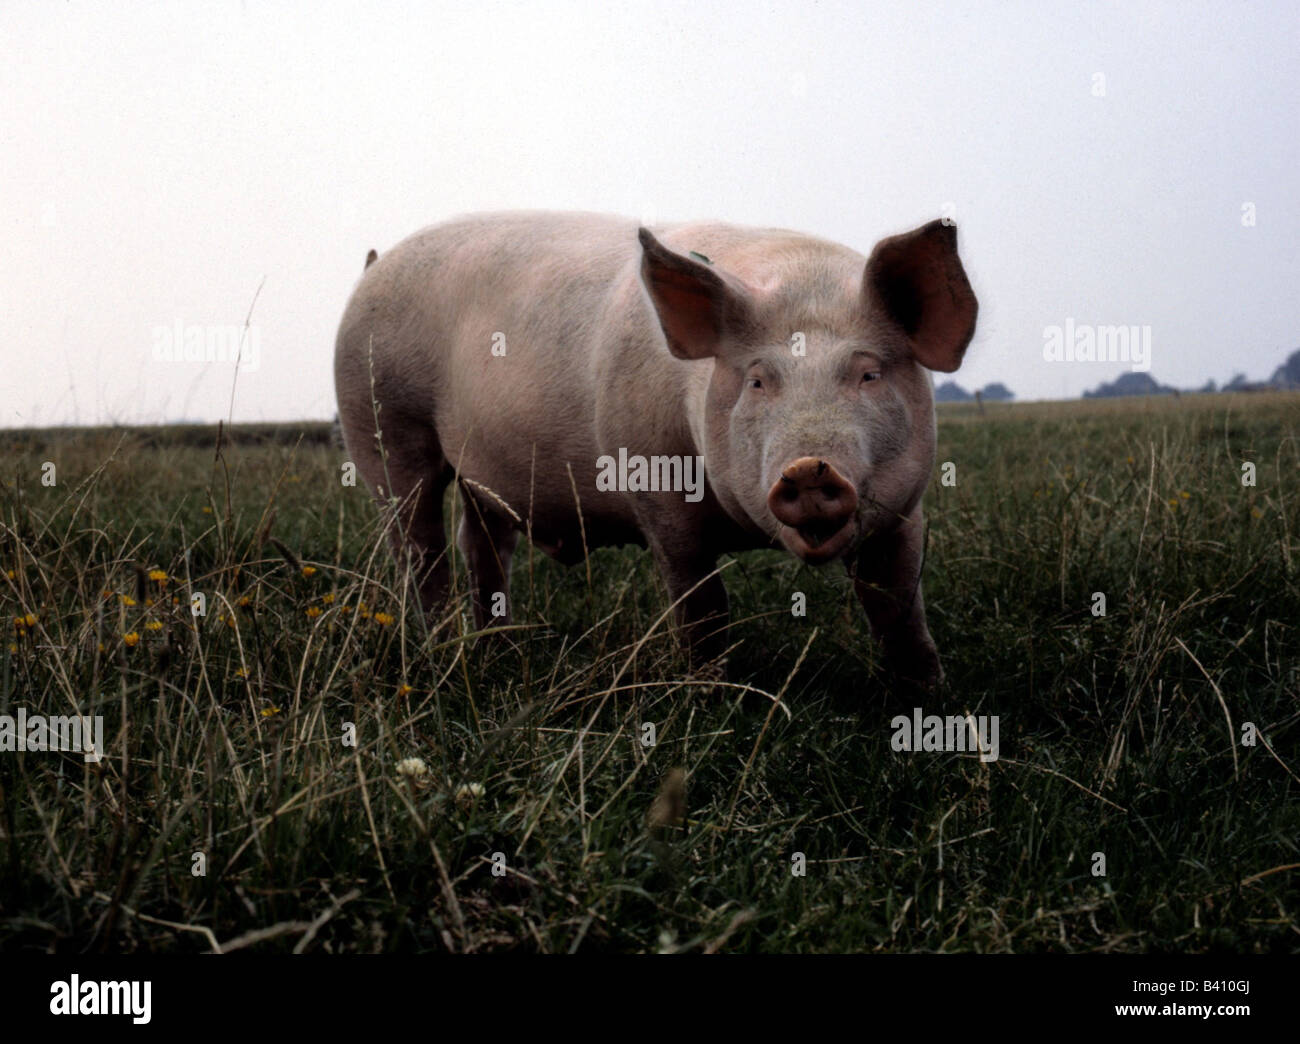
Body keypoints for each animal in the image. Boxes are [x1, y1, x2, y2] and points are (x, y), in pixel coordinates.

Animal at [334, 212, 977, 687]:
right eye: (758, 380)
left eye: (868, 374)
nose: (809, 466)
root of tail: (372, 269)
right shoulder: (656, 489)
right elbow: (701, 602)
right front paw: (709, 693)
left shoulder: (904, 509)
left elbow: (899, 602)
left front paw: (928, 698)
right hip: (382, 425)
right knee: (420, 550)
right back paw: (446, 652)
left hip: (481, 475)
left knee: (483, 545)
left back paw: (497, 647)